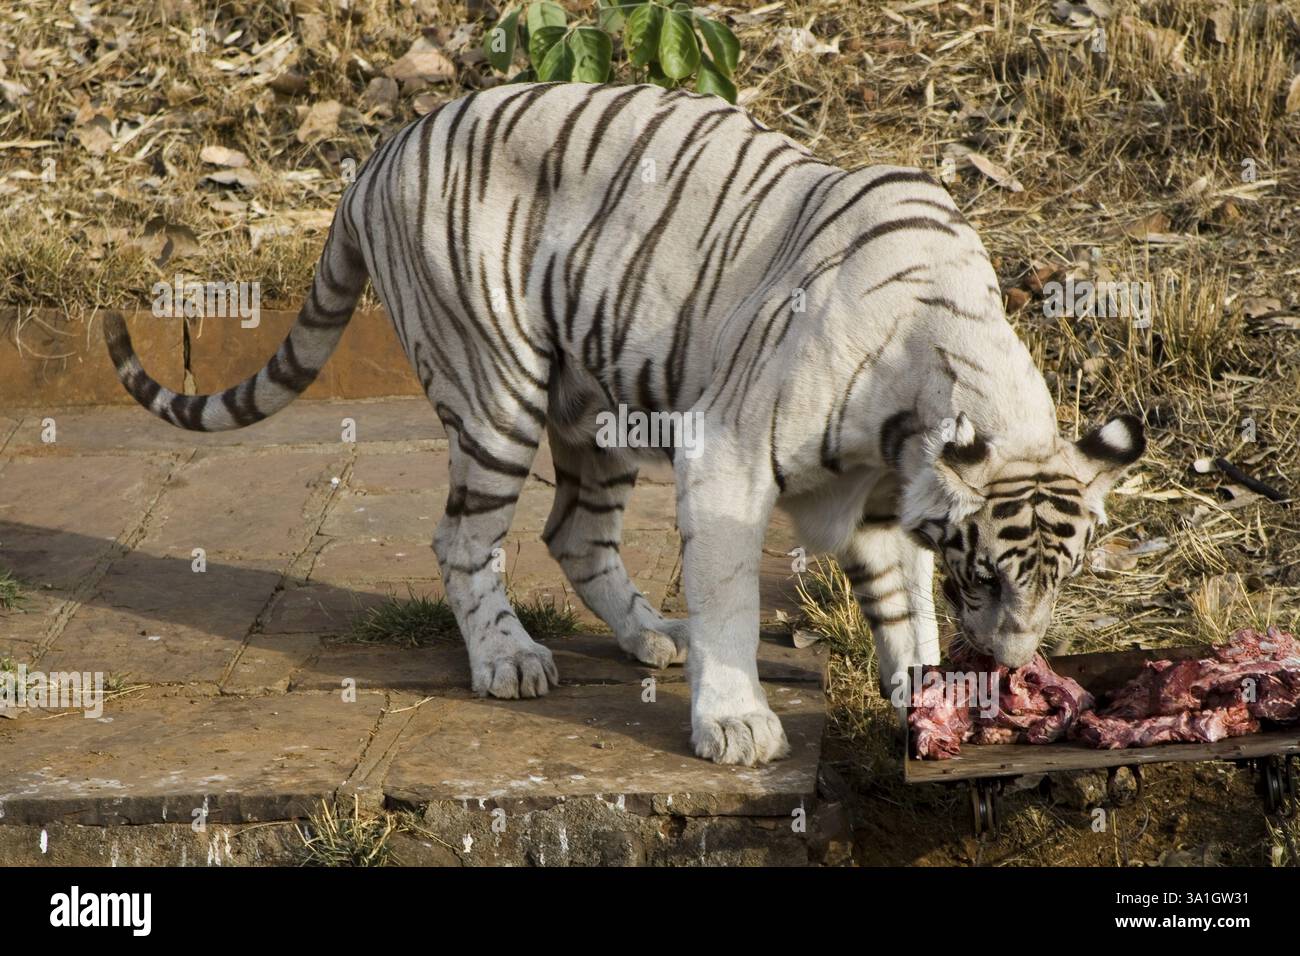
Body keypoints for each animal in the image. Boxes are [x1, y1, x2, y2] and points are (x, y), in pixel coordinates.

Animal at [104, 82, 1144, 766]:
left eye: (1062, 580)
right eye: (988, 572)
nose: (1014, 661)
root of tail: (380, 156)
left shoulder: (886, 505)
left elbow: (904, 609)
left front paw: (927, 693)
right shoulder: (727, 457)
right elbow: (731, 601)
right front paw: (735, 724)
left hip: (596, 407)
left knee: (573, 532)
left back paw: (652, 637)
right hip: (496, 391)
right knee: (462, 539)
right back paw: (511, 660)